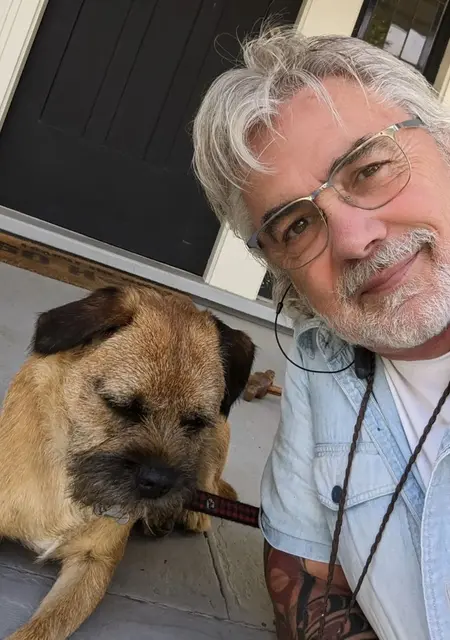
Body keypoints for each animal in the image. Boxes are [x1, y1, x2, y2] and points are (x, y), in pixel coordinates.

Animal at [0, 285, 255, 640]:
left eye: (195, 423)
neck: (71, 477)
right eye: (120, 407)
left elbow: (45, 628)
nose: (159, 482)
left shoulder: (94, 564)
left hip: (222, 434)